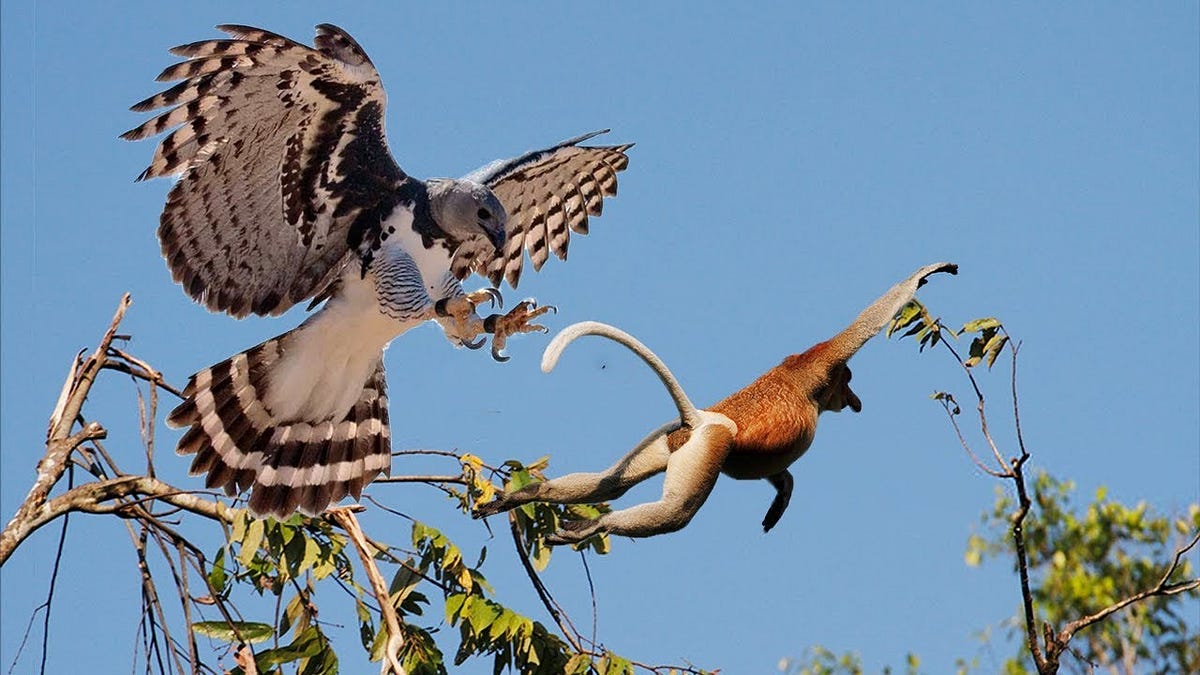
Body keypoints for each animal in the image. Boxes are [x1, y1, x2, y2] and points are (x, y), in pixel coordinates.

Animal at [474, 262, 957, 544]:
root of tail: (701, 419)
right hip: (709, 449)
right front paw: (926, 273)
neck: (812, 390)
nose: (854, 400)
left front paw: (781, 495)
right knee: (676, 512)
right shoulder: (820, 363)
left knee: (610, 483)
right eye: (847, 382)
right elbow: (862, 327)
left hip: (669, 440)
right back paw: (594, 526)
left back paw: (527, 495)